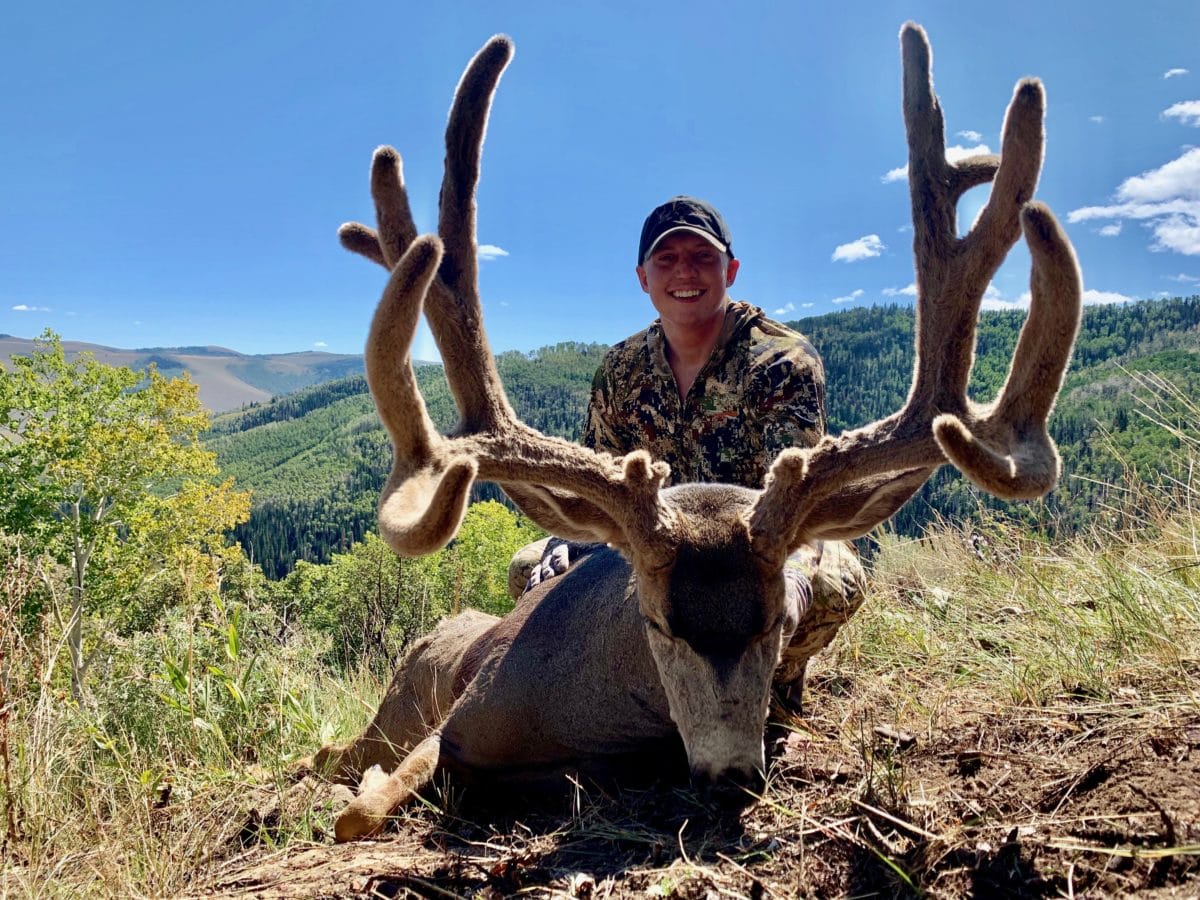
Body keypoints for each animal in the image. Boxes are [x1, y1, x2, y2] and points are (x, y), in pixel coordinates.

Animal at [307, 22, 1082, 842]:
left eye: (776, 620)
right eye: (658, 624)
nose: (729, 775)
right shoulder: (452, 716)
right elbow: (358, 814)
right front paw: (360, 795)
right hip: (396, 699)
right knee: (339, 753)